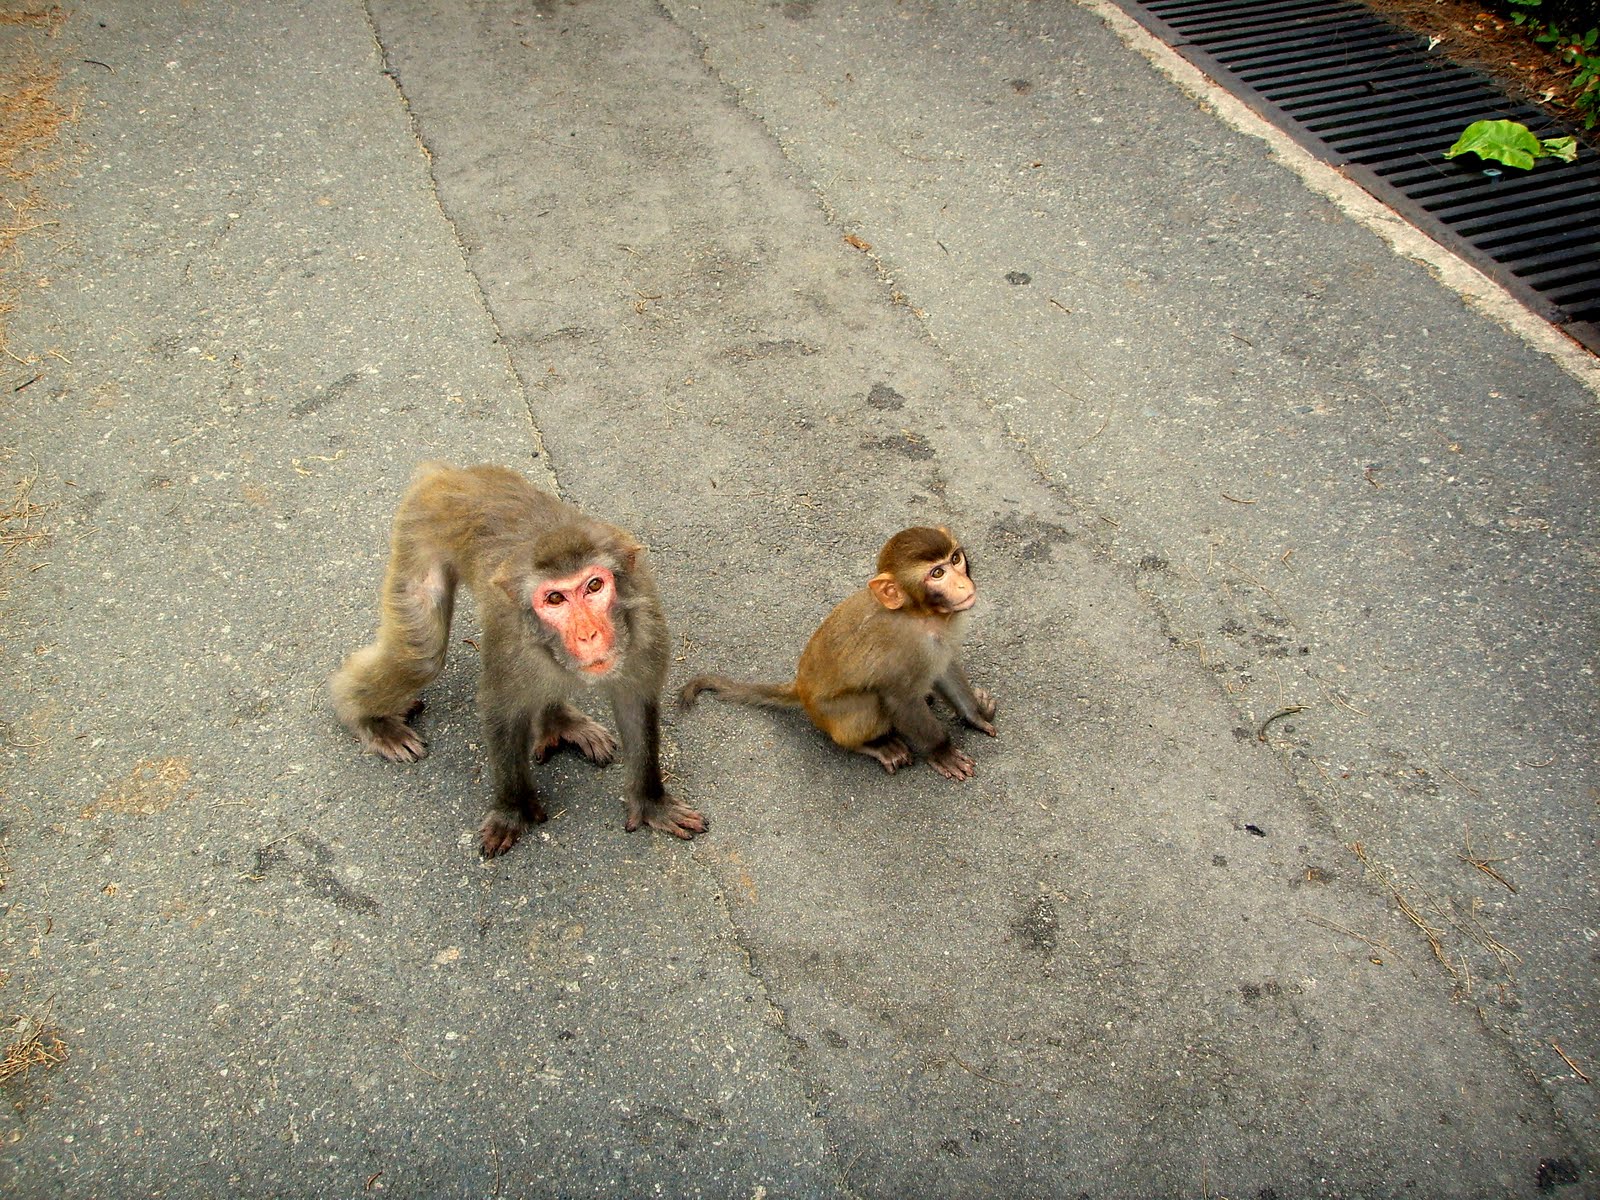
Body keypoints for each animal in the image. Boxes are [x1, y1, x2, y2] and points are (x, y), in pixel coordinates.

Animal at [330, 463, 705, 858]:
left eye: (594, 586)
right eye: (555, 598)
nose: (588, 635)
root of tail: (457, 474)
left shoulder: (647, 625)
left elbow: (634, 703)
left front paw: (651, 803)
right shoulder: (511, 640)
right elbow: (502, 710)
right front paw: (513, 810)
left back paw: (557, 722)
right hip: (418, 529)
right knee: (421, 654)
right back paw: (367, 719)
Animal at [680, 526, 995, 780]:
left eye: (954, 560)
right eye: (937, 573)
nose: (962, 584)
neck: (917, 615)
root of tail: (800, 688)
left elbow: (945, 670)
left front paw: (975, 715)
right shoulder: (901, 653)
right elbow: (901, 701)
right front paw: (942, 752)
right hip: (832, 715)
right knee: (871, 703)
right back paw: (874, 745)